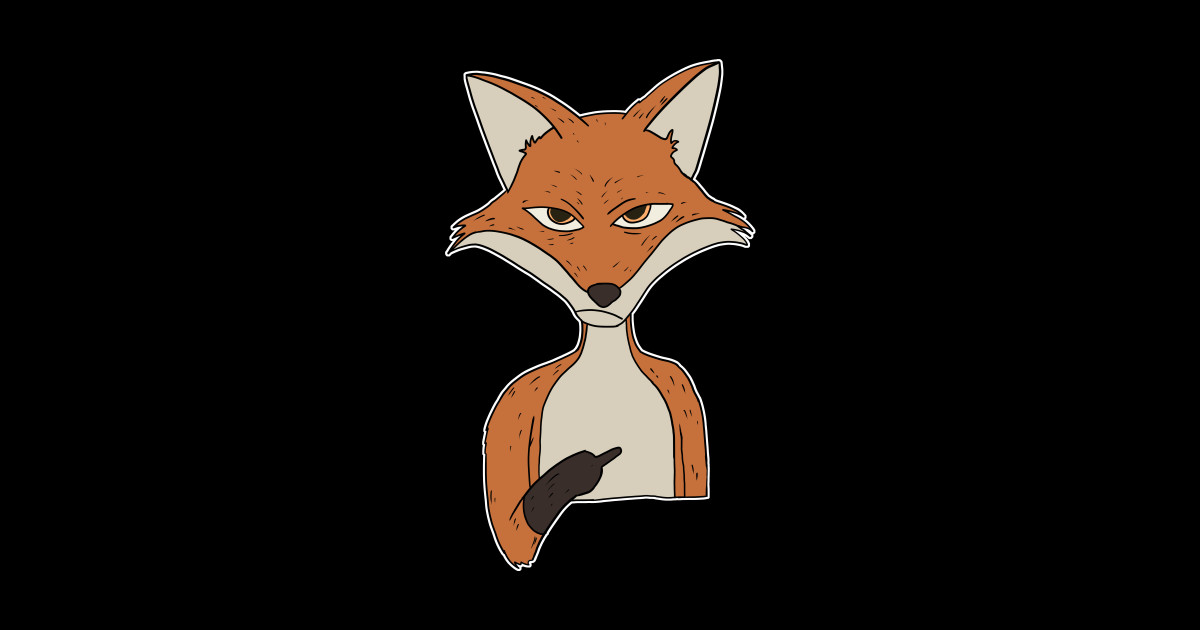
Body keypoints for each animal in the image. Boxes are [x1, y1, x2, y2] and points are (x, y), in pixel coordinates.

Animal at [446, 60, 753, 570]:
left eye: (639, 215)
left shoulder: (688, 413)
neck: (605, 380)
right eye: (557, 218)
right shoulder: (509, 420)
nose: (604, 292)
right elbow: (514, 530)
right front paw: (577, 474)